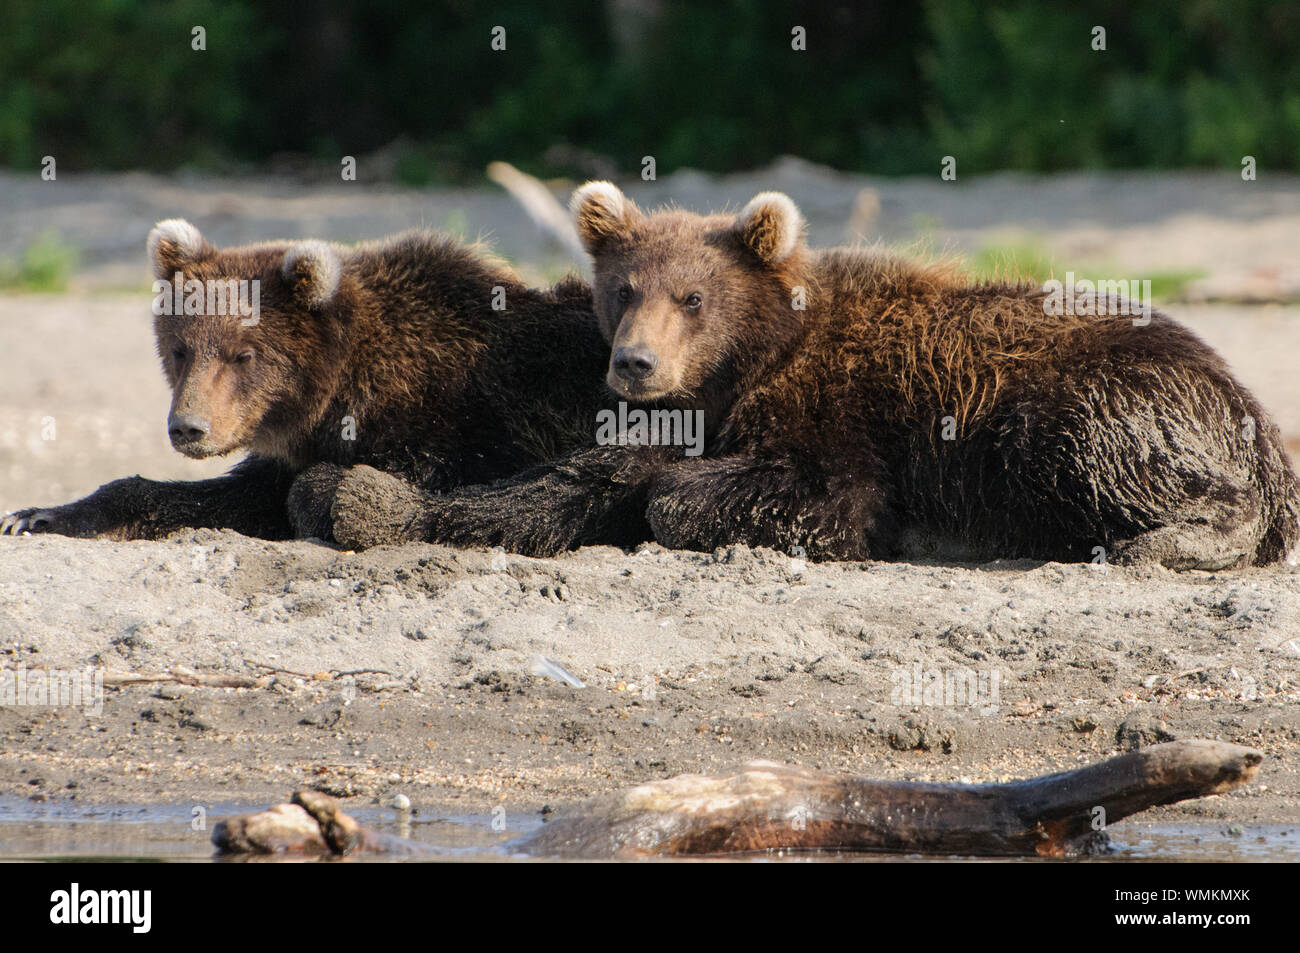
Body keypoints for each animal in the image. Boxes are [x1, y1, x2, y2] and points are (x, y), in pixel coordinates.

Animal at [0, 219, 625, 543]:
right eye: (179, 349)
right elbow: (230, 495)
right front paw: (37, 514)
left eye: (243, 355)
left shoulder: (468, 419)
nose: (189, 428)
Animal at [311, 182, 1300, 571]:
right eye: (624, 288)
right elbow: (579, 475)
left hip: (1117, 397)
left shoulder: (839, 408)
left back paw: (1160, 540)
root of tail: (1242, 392)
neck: (751, 365)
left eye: (694, 296)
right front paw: (369, 496)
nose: (635, 362)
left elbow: (818, 495)